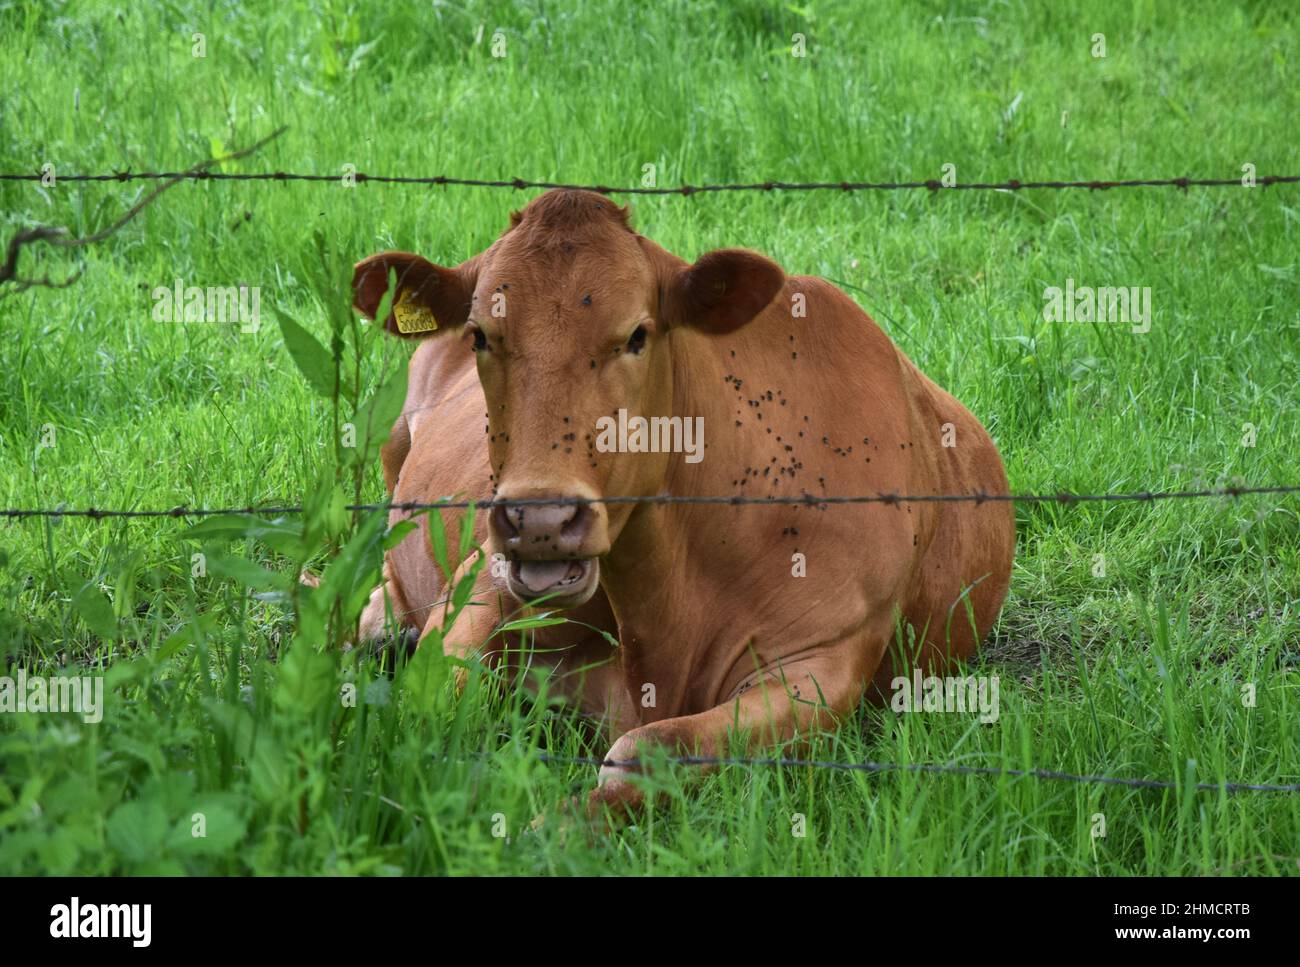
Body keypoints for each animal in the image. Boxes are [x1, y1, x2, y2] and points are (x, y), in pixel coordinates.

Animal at [352, 189, 1015, 818]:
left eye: (637, 336)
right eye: (481, 335)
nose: (541, 519)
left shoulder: (825, 665)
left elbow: (645, 754)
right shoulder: (487, 581)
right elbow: (434, 709)